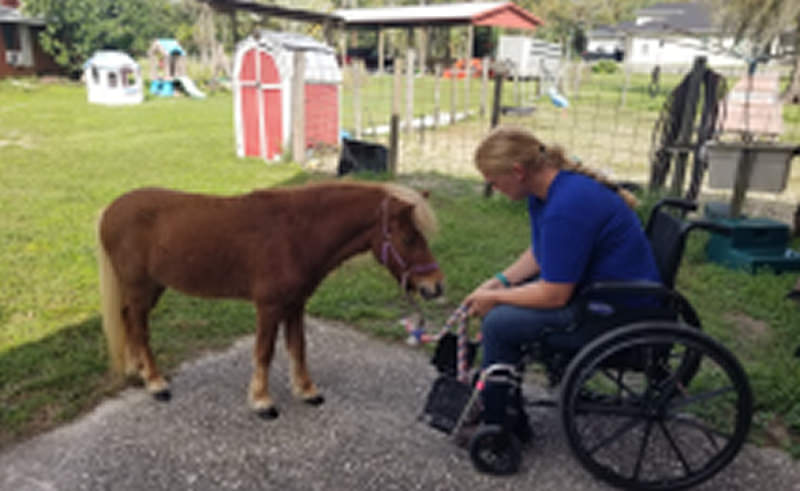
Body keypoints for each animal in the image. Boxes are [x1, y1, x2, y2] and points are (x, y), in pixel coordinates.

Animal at [97, 181, 444, 419]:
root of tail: (110, 210)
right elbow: (265, 352)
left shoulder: (295, 304)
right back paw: (156, 383)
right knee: (139, 327)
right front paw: (262, 401)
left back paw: (138, 370)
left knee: (129, 320)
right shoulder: (269, 307)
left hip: (152, 288)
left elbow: (298, 347)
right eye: (409, 238)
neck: (294, 234)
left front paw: (306, 390)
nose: (436, 287)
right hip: (140, 288)